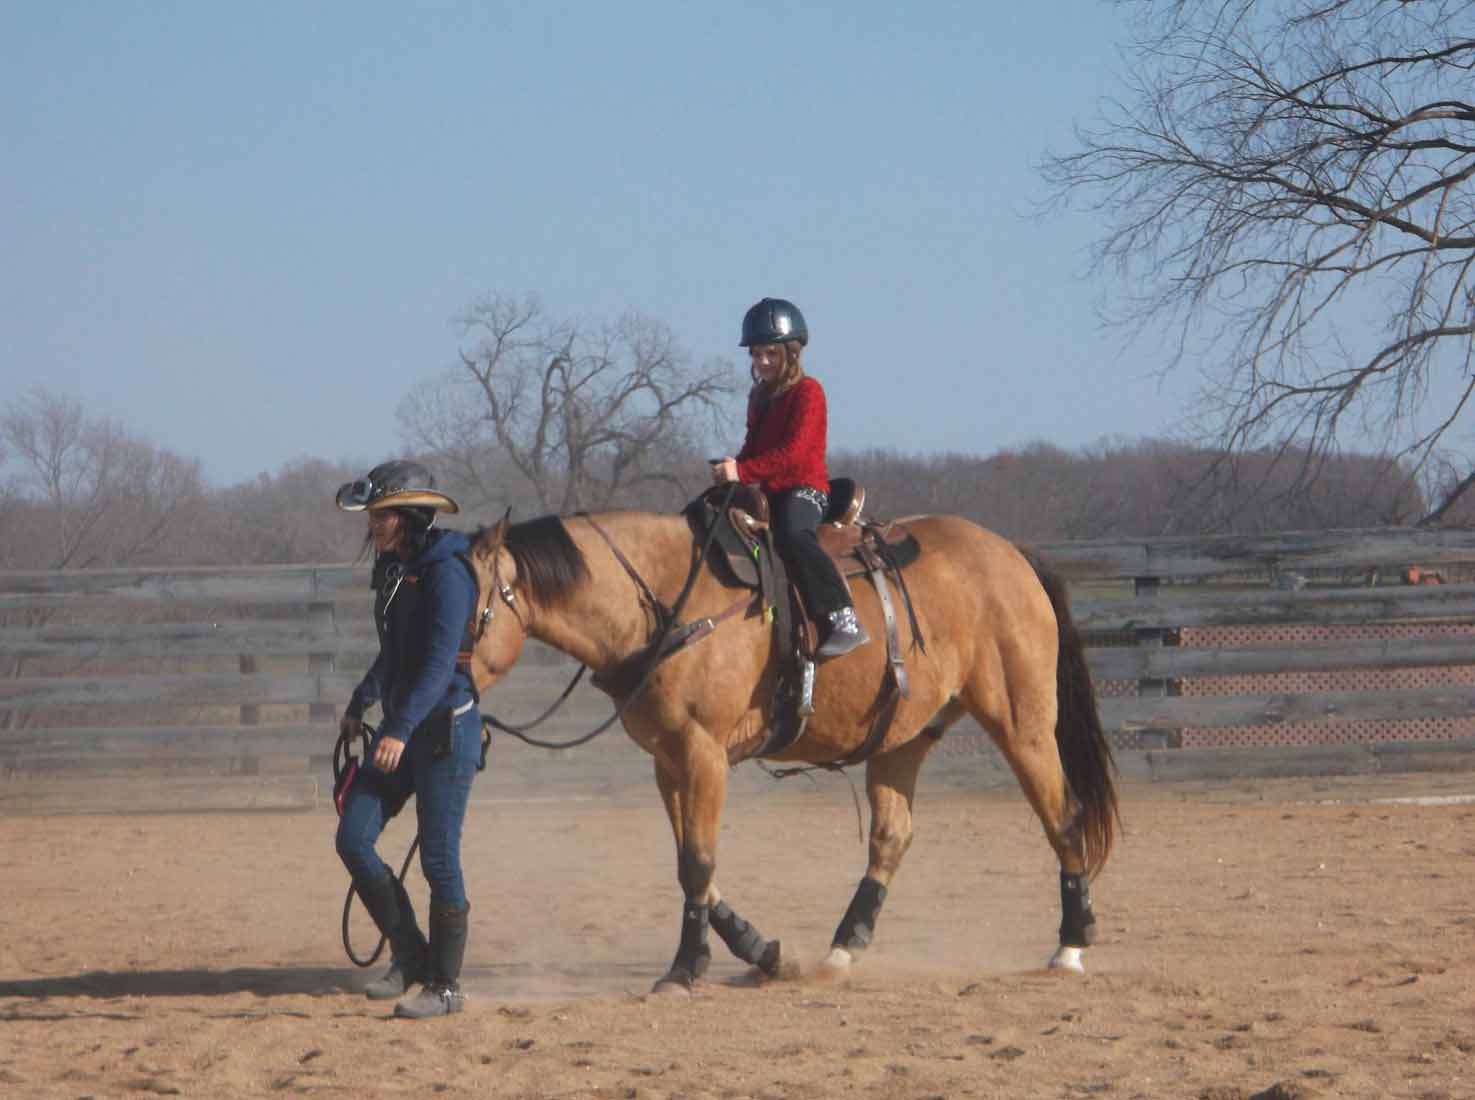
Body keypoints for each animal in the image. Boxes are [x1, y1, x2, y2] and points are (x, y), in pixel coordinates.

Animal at [460, 505, 1119, 992]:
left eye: (474, 613)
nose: (447, 687)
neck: (671, 602)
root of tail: (1011, 555)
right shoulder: (668, 762)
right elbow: (693, 869)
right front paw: (763, 951)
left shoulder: (703, 754)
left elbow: (698, 863)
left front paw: (684, 969)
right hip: (904, 738)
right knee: (891, 838)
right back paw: (842, 950)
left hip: (1022, 724)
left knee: (1064, 818)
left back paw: (1071, 944)